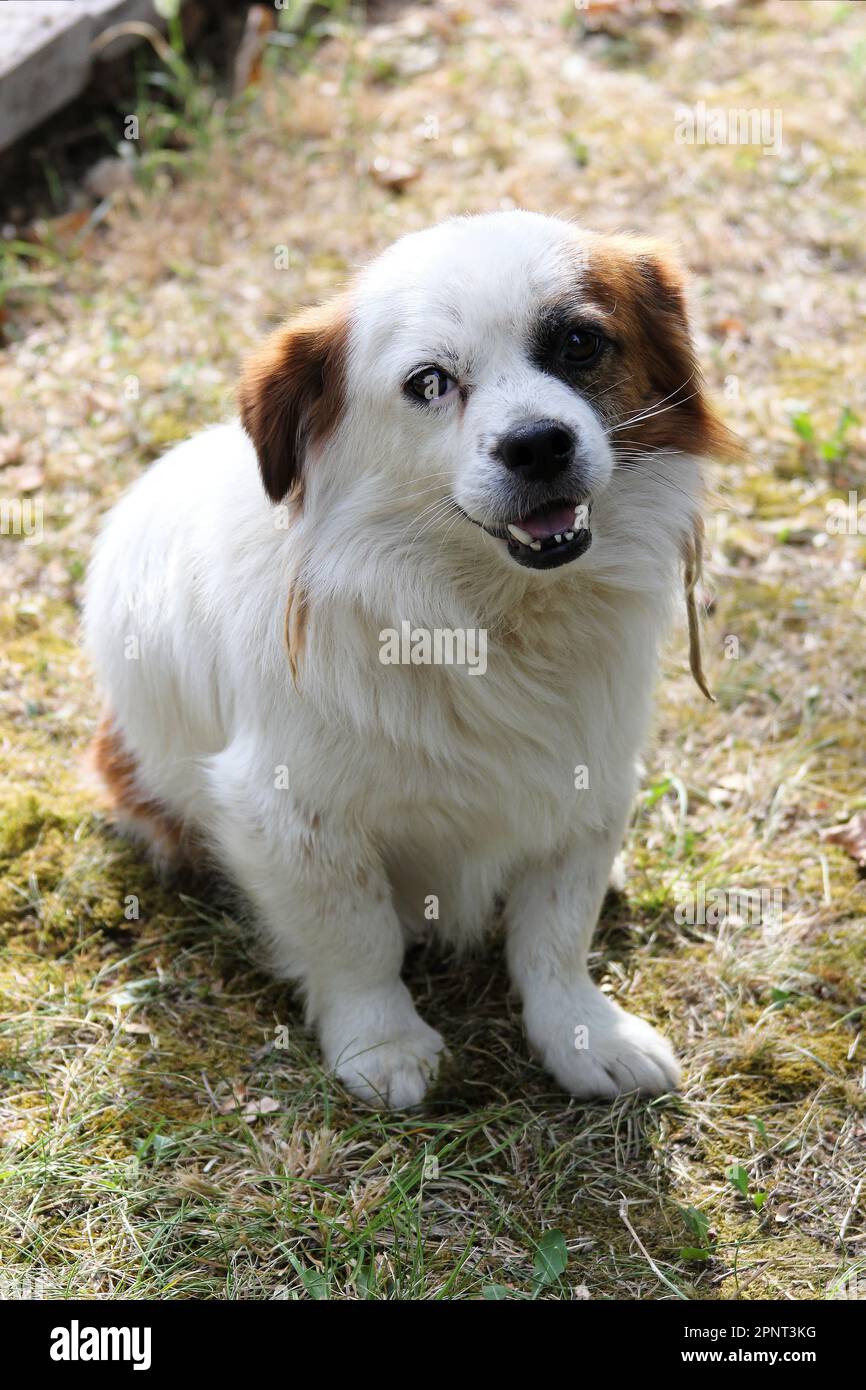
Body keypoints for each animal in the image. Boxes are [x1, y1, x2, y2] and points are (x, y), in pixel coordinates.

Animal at [84, 208, 739, 1106]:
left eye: (579, 343)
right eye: (429, 383)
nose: (537, 444)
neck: (488, 618)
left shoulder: (589, 779)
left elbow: (555, 930)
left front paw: (584, 1032)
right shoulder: (287, 813)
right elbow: (355, 934)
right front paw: (381, 1042)